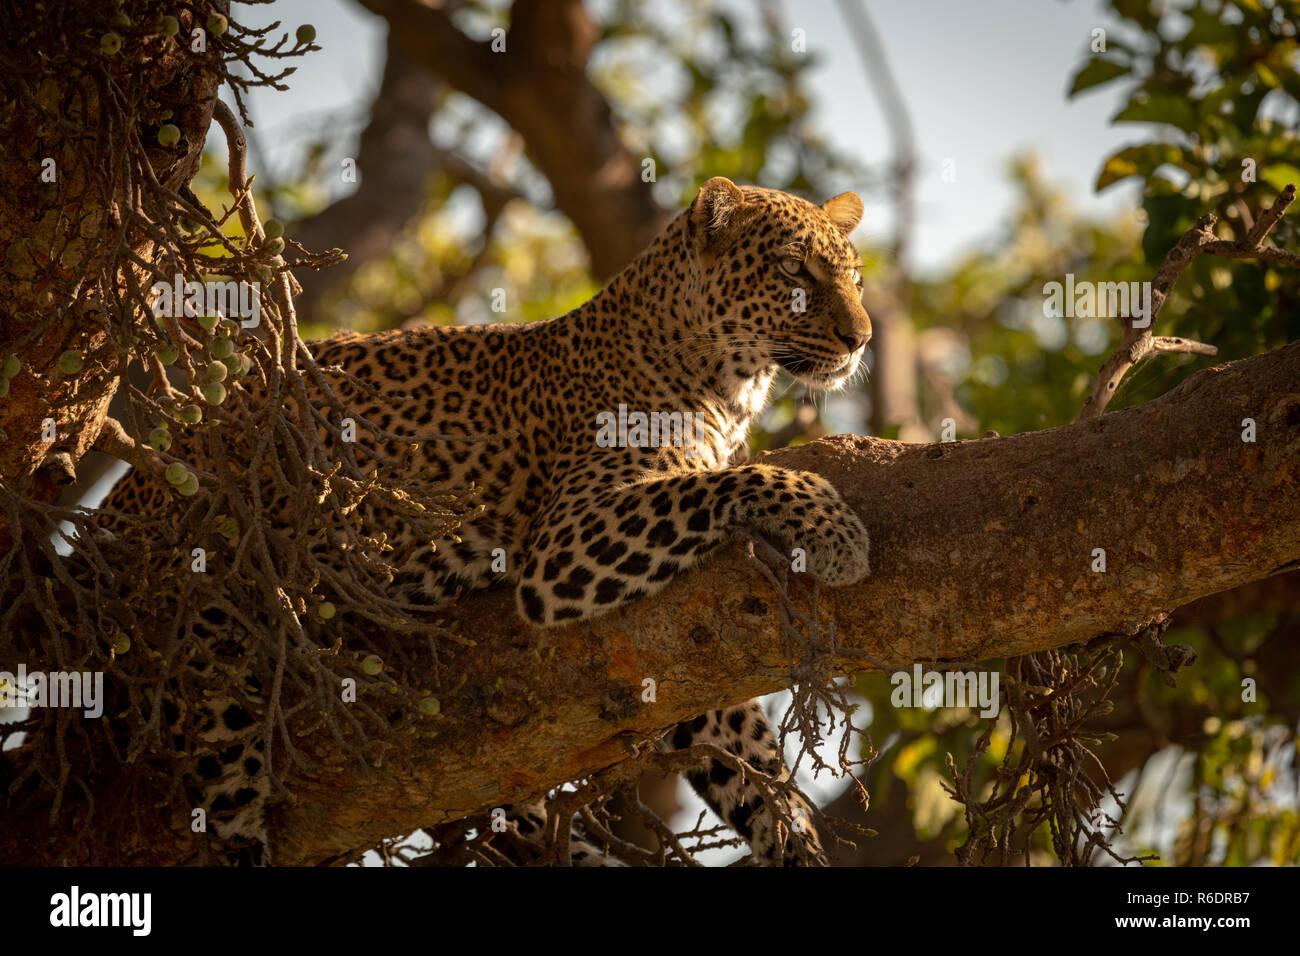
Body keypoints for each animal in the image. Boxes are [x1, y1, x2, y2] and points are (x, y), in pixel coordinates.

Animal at [100, 176, 874, 866]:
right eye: (793, 269)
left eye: (856, 277)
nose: (860, 338)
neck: (730, 387)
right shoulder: (568, 543)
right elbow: (723, 481)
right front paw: (833, 530)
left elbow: (753, 762)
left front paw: (798, 842)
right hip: (214, 645)